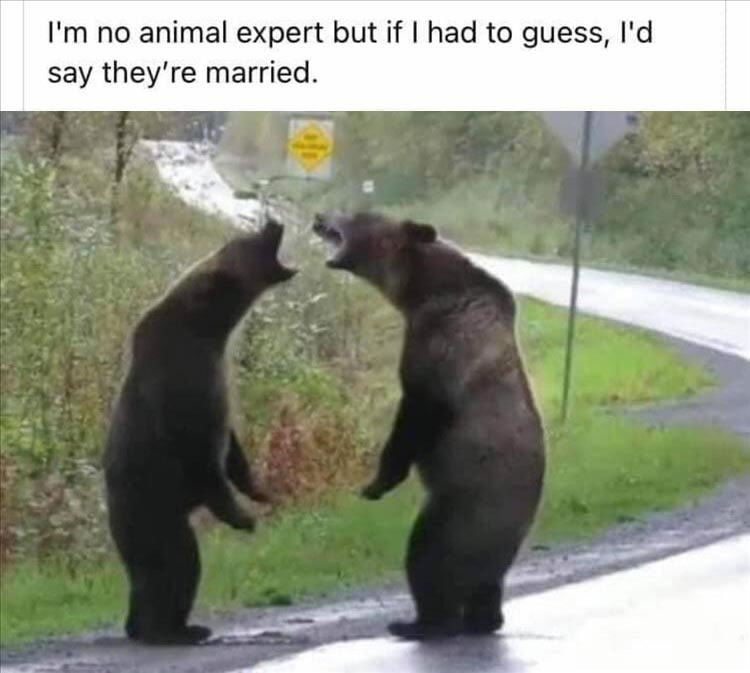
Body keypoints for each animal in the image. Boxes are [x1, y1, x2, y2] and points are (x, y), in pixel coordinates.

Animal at [103, 218, 296, 645]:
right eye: (244, 239)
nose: (273, 222)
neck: (208, 328)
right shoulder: (183, 386)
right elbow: (203, 458)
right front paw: (243, 517)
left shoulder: (216, 382)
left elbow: (231, 445)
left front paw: (259, 489)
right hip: (151, 508)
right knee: (175, 562)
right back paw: (169, 630)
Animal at [313, 211, 545, 640]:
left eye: (357, 215)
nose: (320, 217)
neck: (420, 291)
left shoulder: (439, 345)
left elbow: (417, 414)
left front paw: (376, 483)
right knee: (487, 586)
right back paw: (483, 618)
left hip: (466, 509)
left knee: (427, 557)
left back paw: (419, 622)